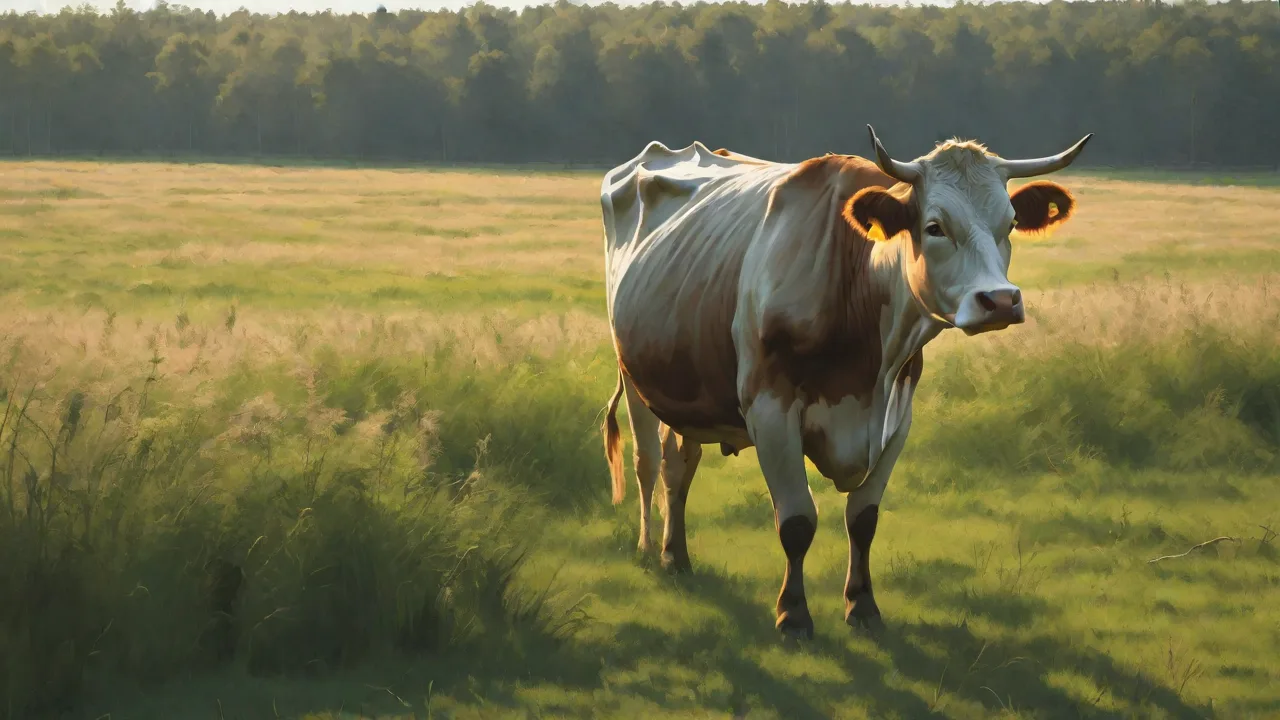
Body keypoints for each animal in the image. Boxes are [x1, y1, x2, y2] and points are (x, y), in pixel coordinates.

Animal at [599, 126, 1091, 640]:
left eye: (1011, 223)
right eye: (935, 226)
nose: (1000, 301)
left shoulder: (897, 416)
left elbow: (863, 519)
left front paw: (862, 605)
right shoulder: (770, 410)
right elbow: (796, 520)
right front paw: (793, 614)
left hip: (686, 385)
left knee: (679, 465)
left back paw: (676, 555)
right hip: (634, 375)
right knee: (647, 461)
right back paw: (648, 548)